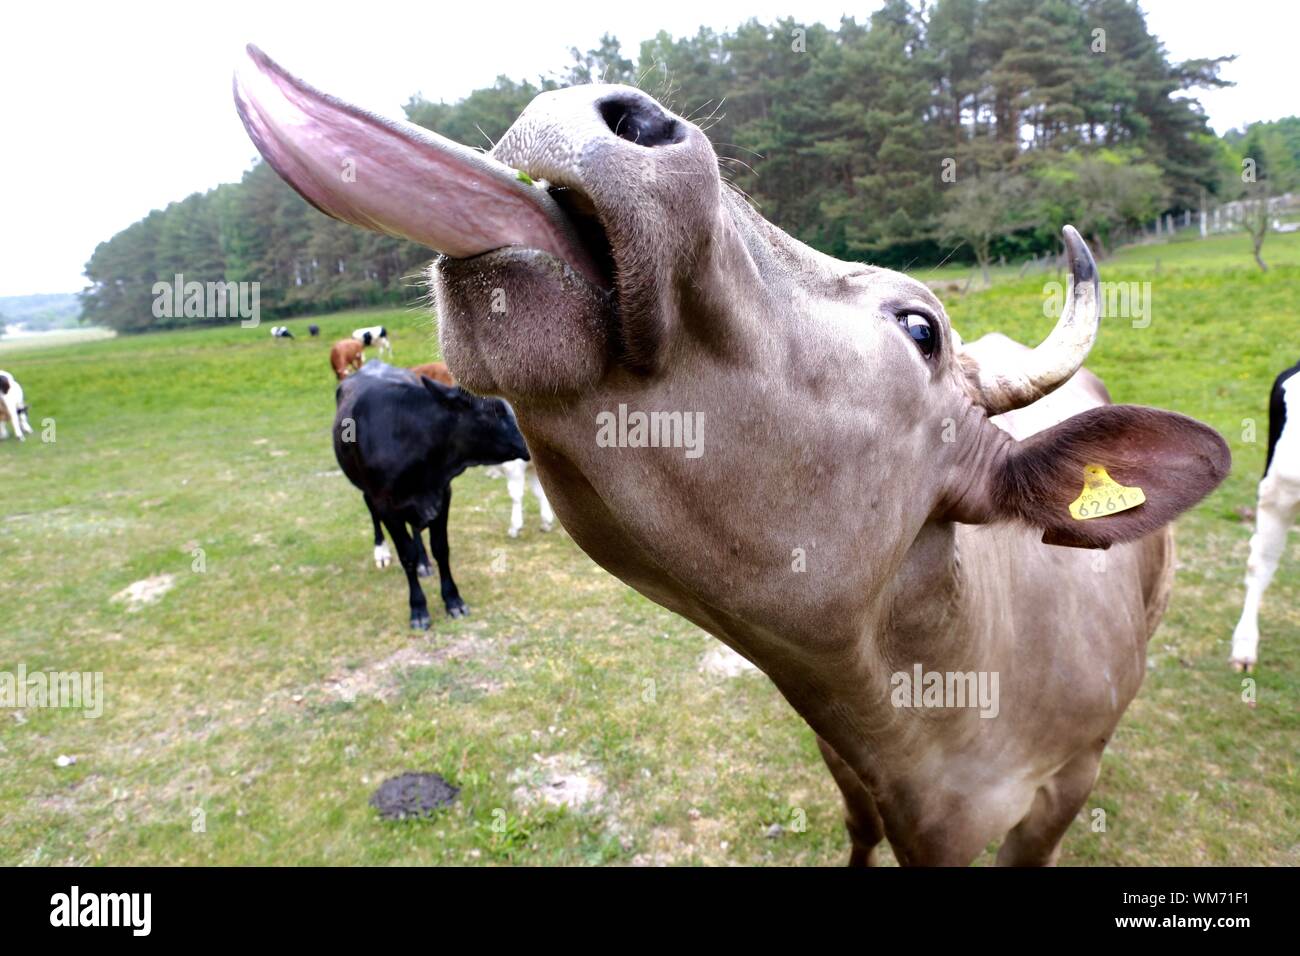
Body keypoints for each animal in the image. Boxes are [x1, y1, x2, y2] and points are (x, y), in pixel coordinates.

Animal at [333, 361, 530, 629]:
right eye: (494, 411)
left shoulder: (442, 493)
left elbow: (440, 548)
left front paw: (453, 600)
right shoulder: (386, 504)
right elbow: (406, 555)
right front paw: (418, 608)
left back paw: (424, 563)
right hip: (368, 490)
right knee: (371, 510)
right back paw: (381, 551)